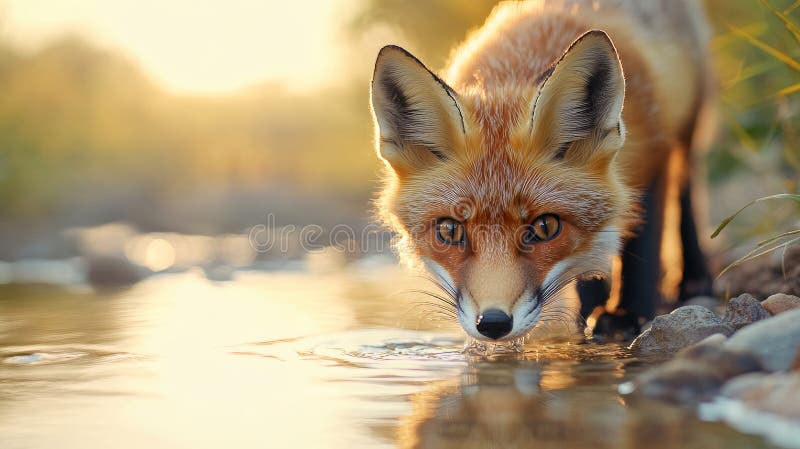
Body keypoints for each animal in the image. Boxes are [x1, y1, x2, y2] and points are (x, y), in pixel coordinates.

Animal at [370, 0, 715, 343]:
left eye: (545, 227)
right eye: (449, 230)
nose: (492, 323)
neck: (514, 68)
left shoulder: (653, 157)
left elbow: (640, 256)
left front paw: (627, 315)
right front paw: (592, 313)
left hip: (687, 131)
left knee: (686, 196)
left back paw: (695, 280)